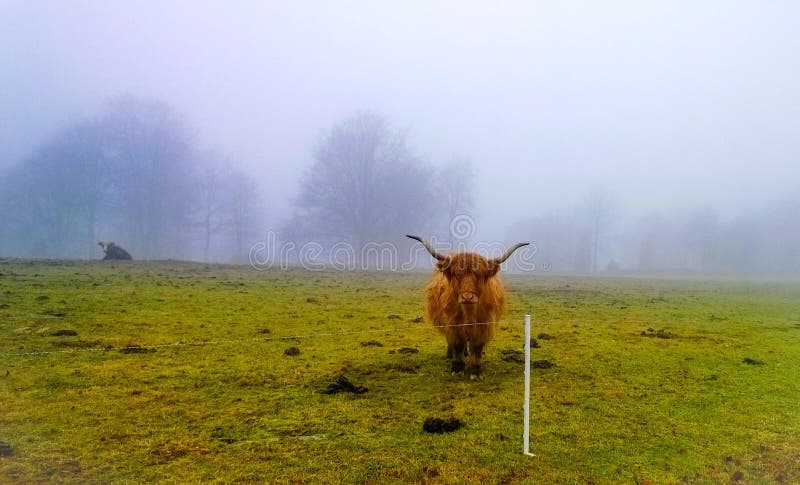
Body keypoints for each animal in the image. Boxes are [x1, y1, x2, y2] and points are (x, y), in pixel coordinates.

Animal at [407, 235, 528, 379]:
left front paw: (475, 371)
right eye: (457, 274)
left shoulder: (484, 325)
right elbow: (458, 345)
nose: (467, 297)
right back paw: (450, 356)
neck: (469, 313)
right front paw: (458, 368)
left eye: (479, 275)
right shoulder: (453, 324)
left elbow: (476, 348)